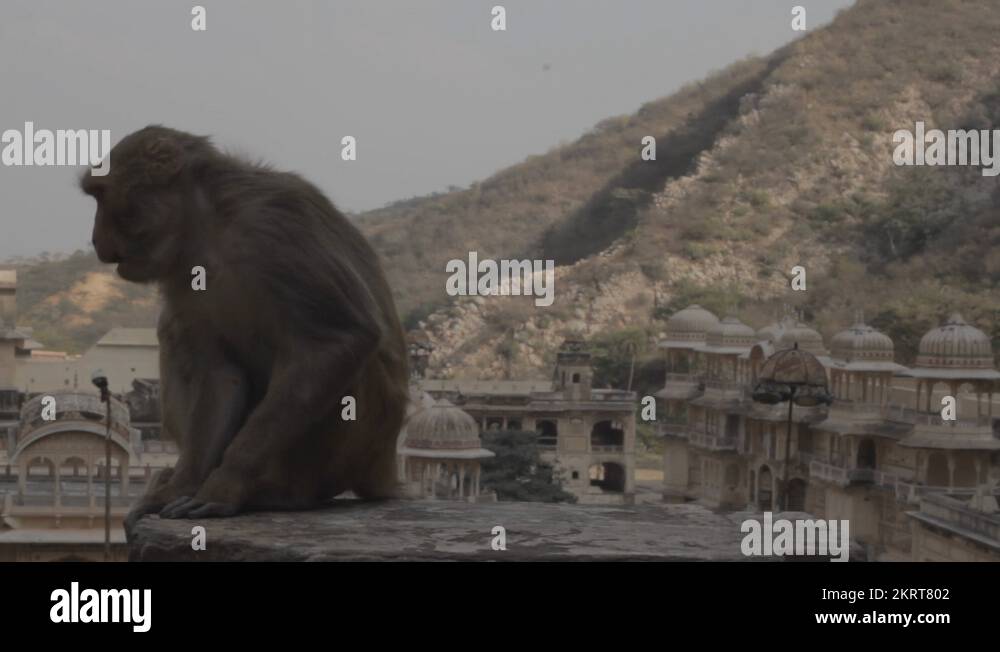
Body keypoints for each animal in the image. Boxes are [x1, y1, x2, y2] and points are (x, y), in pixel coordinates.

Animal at [80, 126, 409, 526]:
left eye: (101, 196)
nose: (95, 240)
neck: (209, 229)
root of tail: (385, 468)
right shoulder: (180, 275)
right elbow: (220, 374)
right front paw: (182, 487)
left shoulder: (277, 220)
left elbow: (342, 339)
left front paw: (224, 486)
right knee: (175, 332)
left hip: (358, 448)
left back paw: (283, 494)